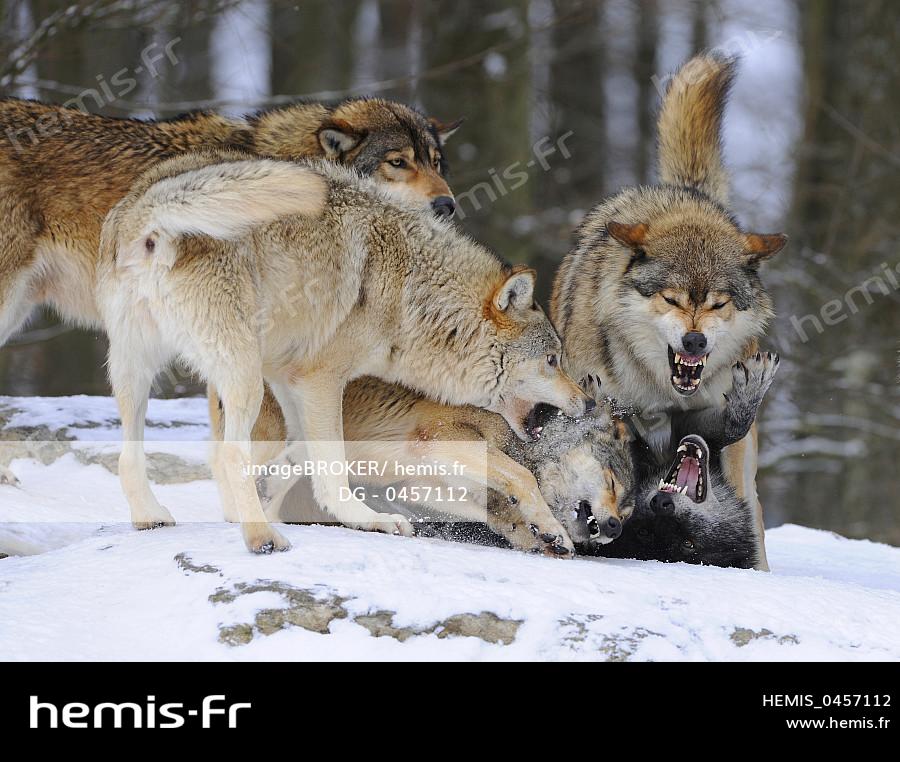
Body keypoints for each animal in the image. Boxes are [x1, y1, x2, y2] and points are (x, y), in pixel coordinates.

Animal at [97, 151, 592, 554]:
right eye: (553, 360)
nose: (588, 402)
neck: (411, 292)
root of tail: (149, 209)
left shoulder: (289, 379)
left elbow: (304, 460)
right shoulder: (321, 379)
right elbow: (332, 468)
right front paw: (368, 521)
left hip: (136, 373)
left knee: (128, 455)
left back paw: (152, 517)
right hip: (244, 378)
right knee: (229, 458)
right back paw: (262, 538)